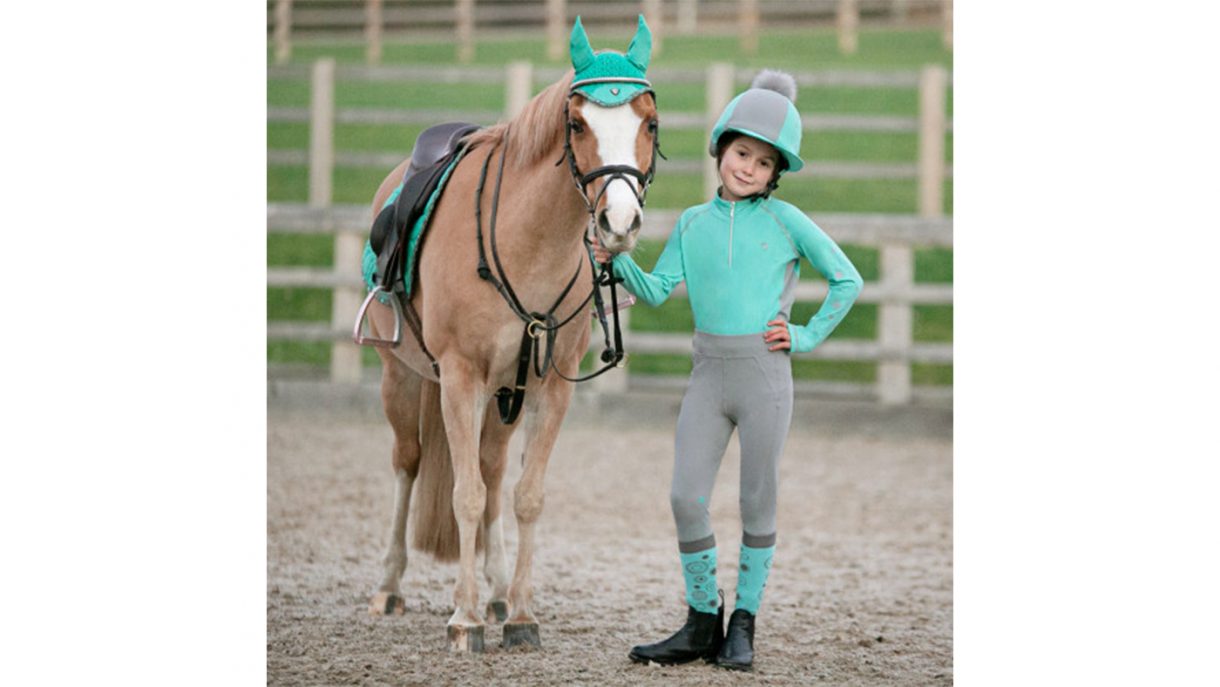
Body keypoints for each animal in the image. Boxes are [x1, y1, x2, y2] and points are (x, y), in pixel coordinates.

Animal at [358, 17, 658, 652]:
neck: (528, 243)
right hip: (402, 379)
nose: (618, 224)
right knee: (409, 464)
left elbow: (524, 496)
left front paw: (518, 614)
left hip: (503, 396)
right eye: (577, 124)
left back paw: (496, 593)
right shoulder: (459, 379)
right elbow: (465, 496)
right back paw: (389, 586)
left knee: (493, 472)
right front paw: (464, 620)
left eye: (649, 120)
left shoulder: (549, 389)